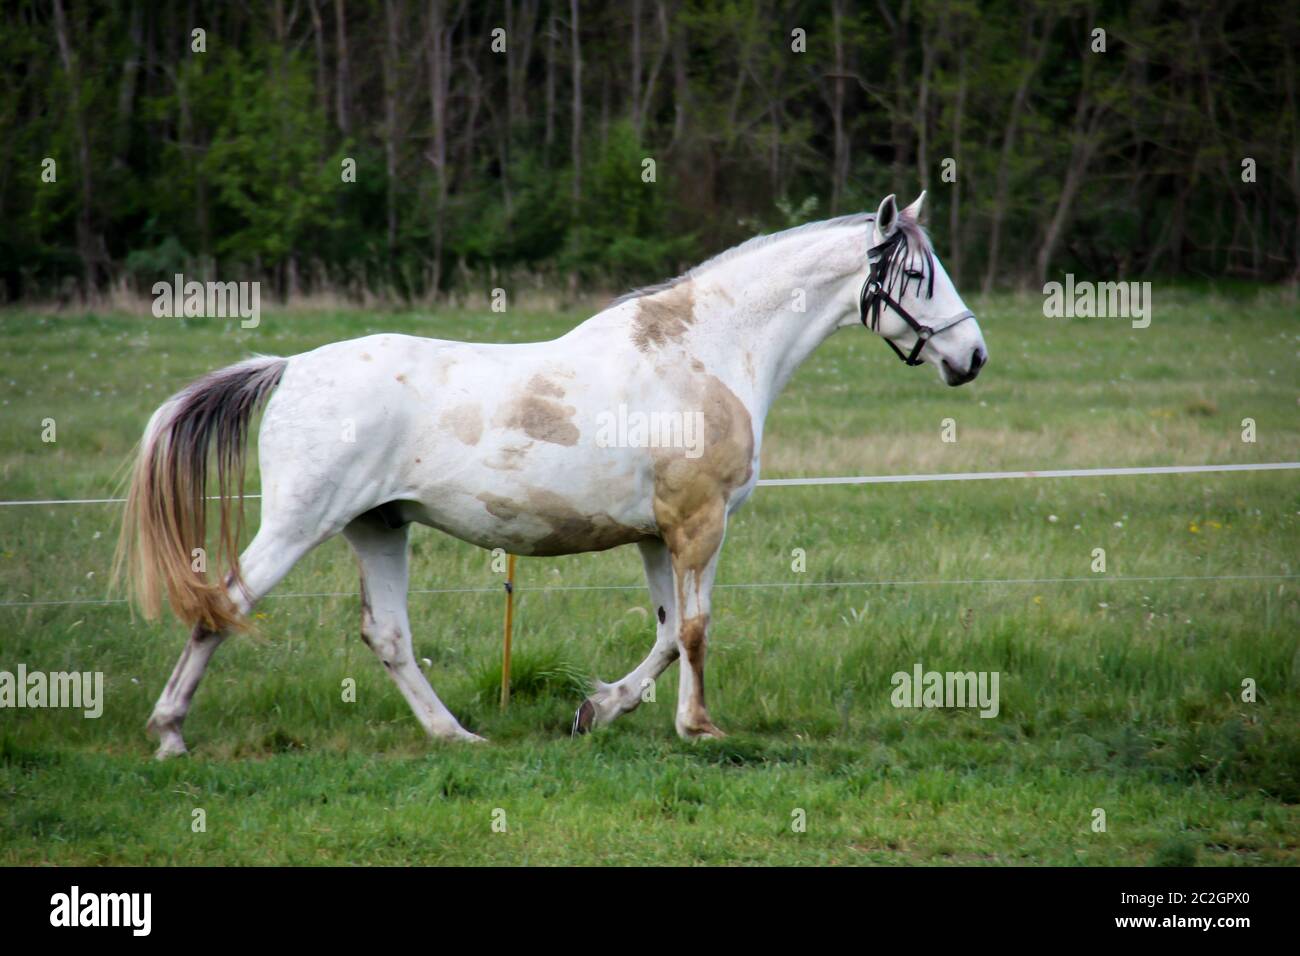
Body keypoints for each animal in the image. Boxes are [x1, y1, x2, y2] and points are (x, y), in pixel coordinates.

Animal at [115, 191, 988, 758]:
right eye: (917, 276)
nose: (972, 355)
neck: (709, 350)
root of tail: (291, 366)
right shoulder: (698, 524)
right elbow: (697, 630)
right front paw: (699, 728)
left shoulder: (656, 535)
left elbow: (667, 632)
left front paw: (598, 710)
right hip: (302, 522)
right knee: (225, 605)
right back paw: (168, 733)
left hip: (378, 528)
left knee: (388, 636)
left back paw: (456, 736)